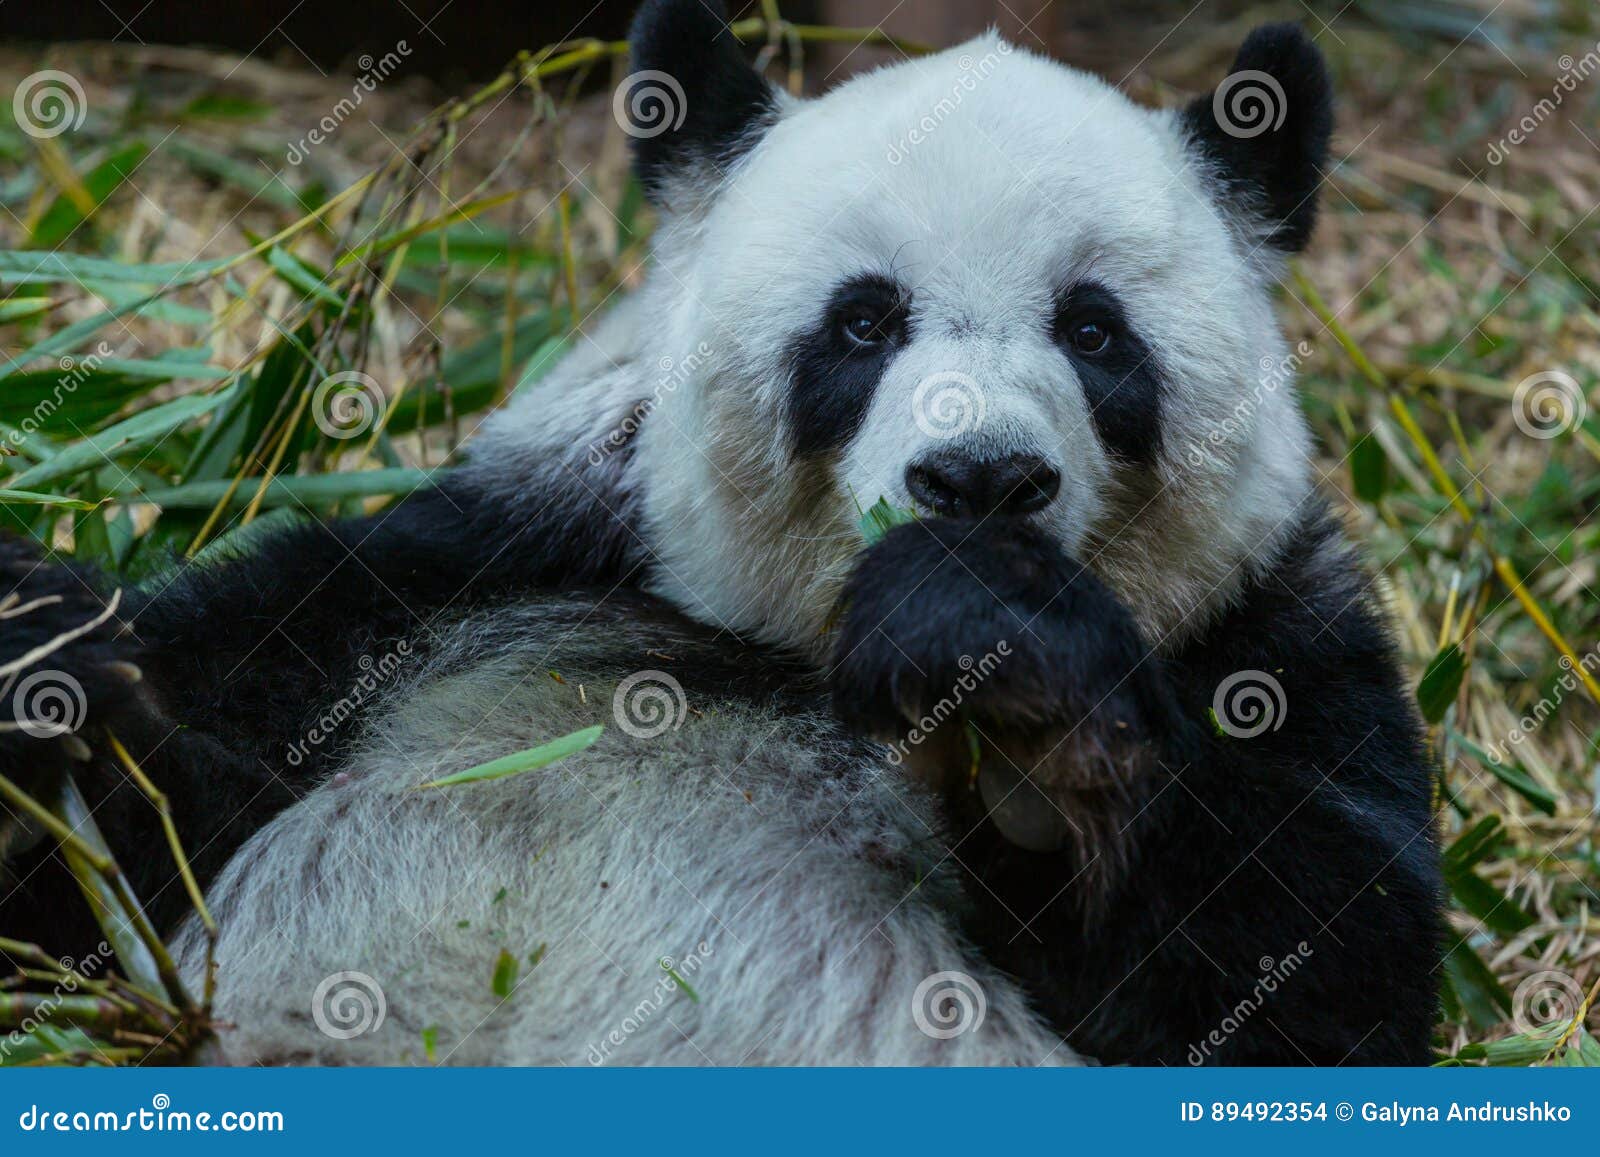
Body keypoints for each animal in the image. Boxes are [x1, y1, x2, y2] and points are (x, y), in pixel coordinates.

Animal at [0, 0, 1440, 1065]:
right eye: (863, 321)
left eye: (1094, 331)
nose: (979, 478)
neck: (802, 649)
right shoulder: (485, 567)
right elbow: (120, 888)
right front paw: (52, 668)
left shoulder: (1268, 634)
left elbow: (1310, 981)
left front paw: (1010, 677)